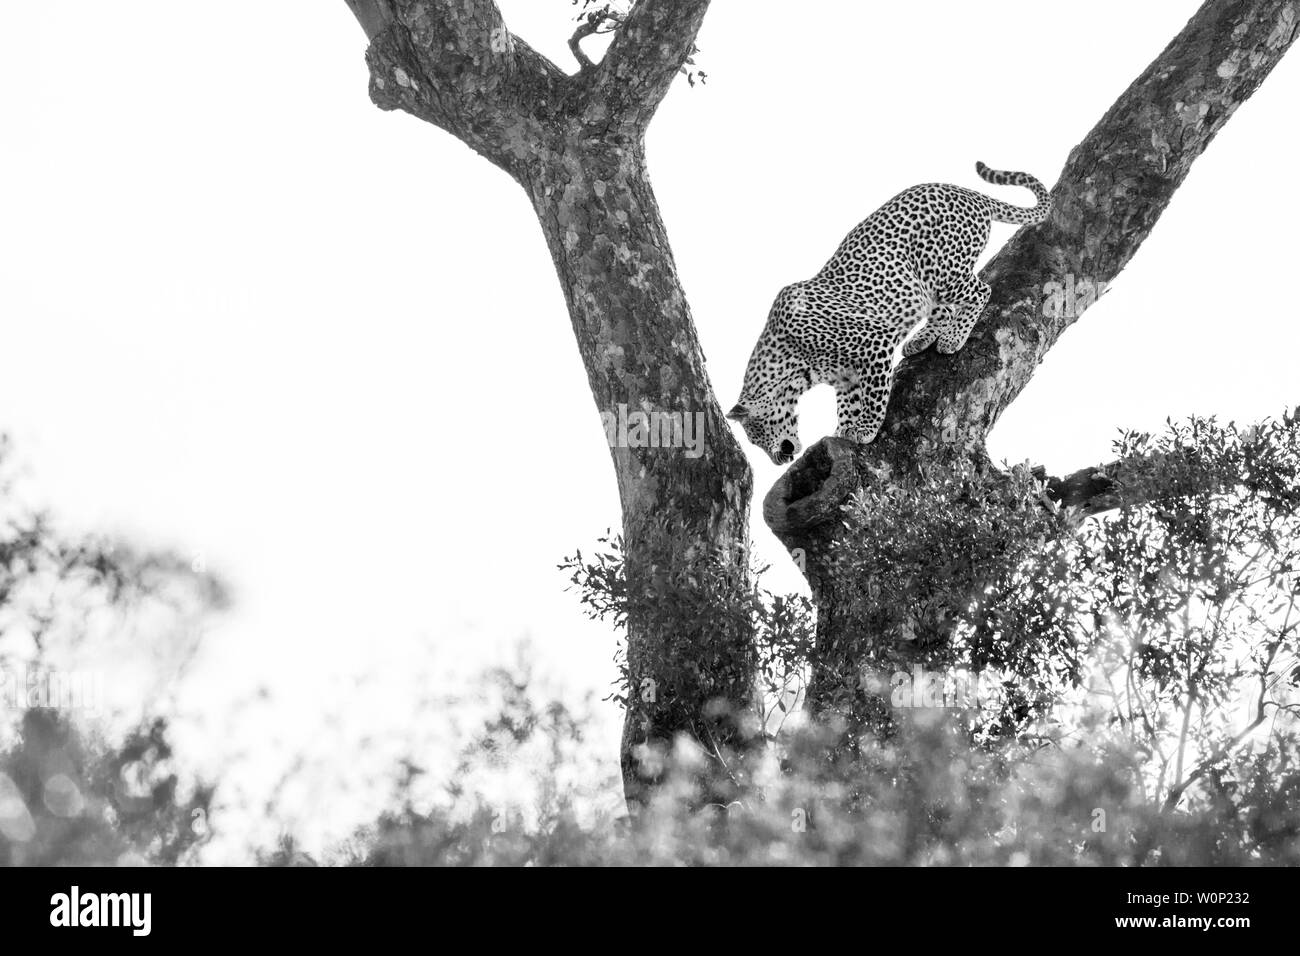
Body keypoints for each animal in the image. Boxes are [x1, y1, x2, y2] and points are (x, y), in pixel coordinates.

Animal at [727, 162, 1050, 465]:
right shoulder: (846, 377)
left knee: (981, 290)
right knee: (943, 310)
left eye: (757, 434)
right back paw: (922, 339)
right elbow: (849, 404)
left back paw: (954, 338)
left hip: (941, 272)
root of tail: (969, 193)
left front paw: (867, 428)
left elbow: (874, 395)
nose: (779, 461)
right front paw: (845, 430)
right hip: (924, 286)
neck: (793, 365)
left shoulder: (874, 343)